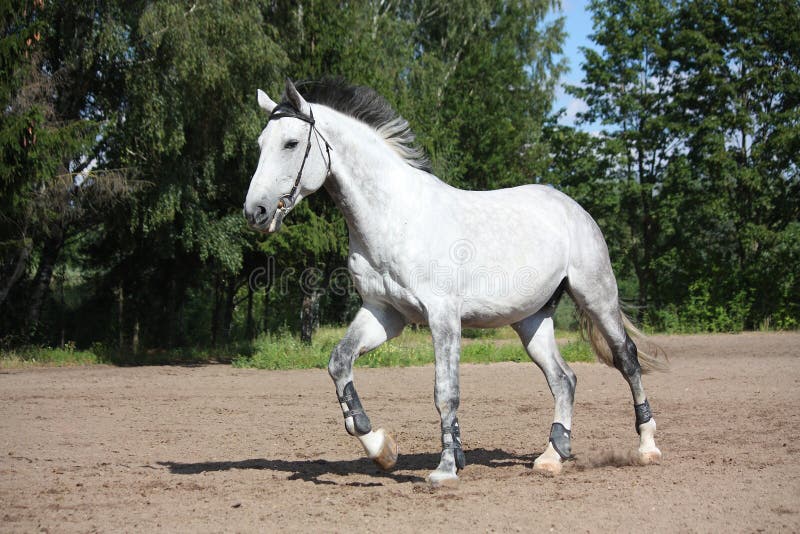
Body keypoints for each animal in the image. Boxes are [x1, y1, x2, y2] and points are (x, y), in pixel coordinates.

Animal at [244, 78, 667, 484]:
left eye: (291, 143)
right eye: (260, 144)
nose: (255, 212)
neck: (395, 217)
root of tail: (572, 207)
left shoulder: (443, 316)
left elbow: (445, 392)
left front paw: (445, 469)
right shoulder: (385, 313)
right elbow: (339, 362)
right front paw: (381, 448)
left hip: (596, 295)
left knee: (627, 359)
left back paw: (647, 447)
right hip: (530, 319)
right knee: (564, 379)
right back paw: (551, 456)